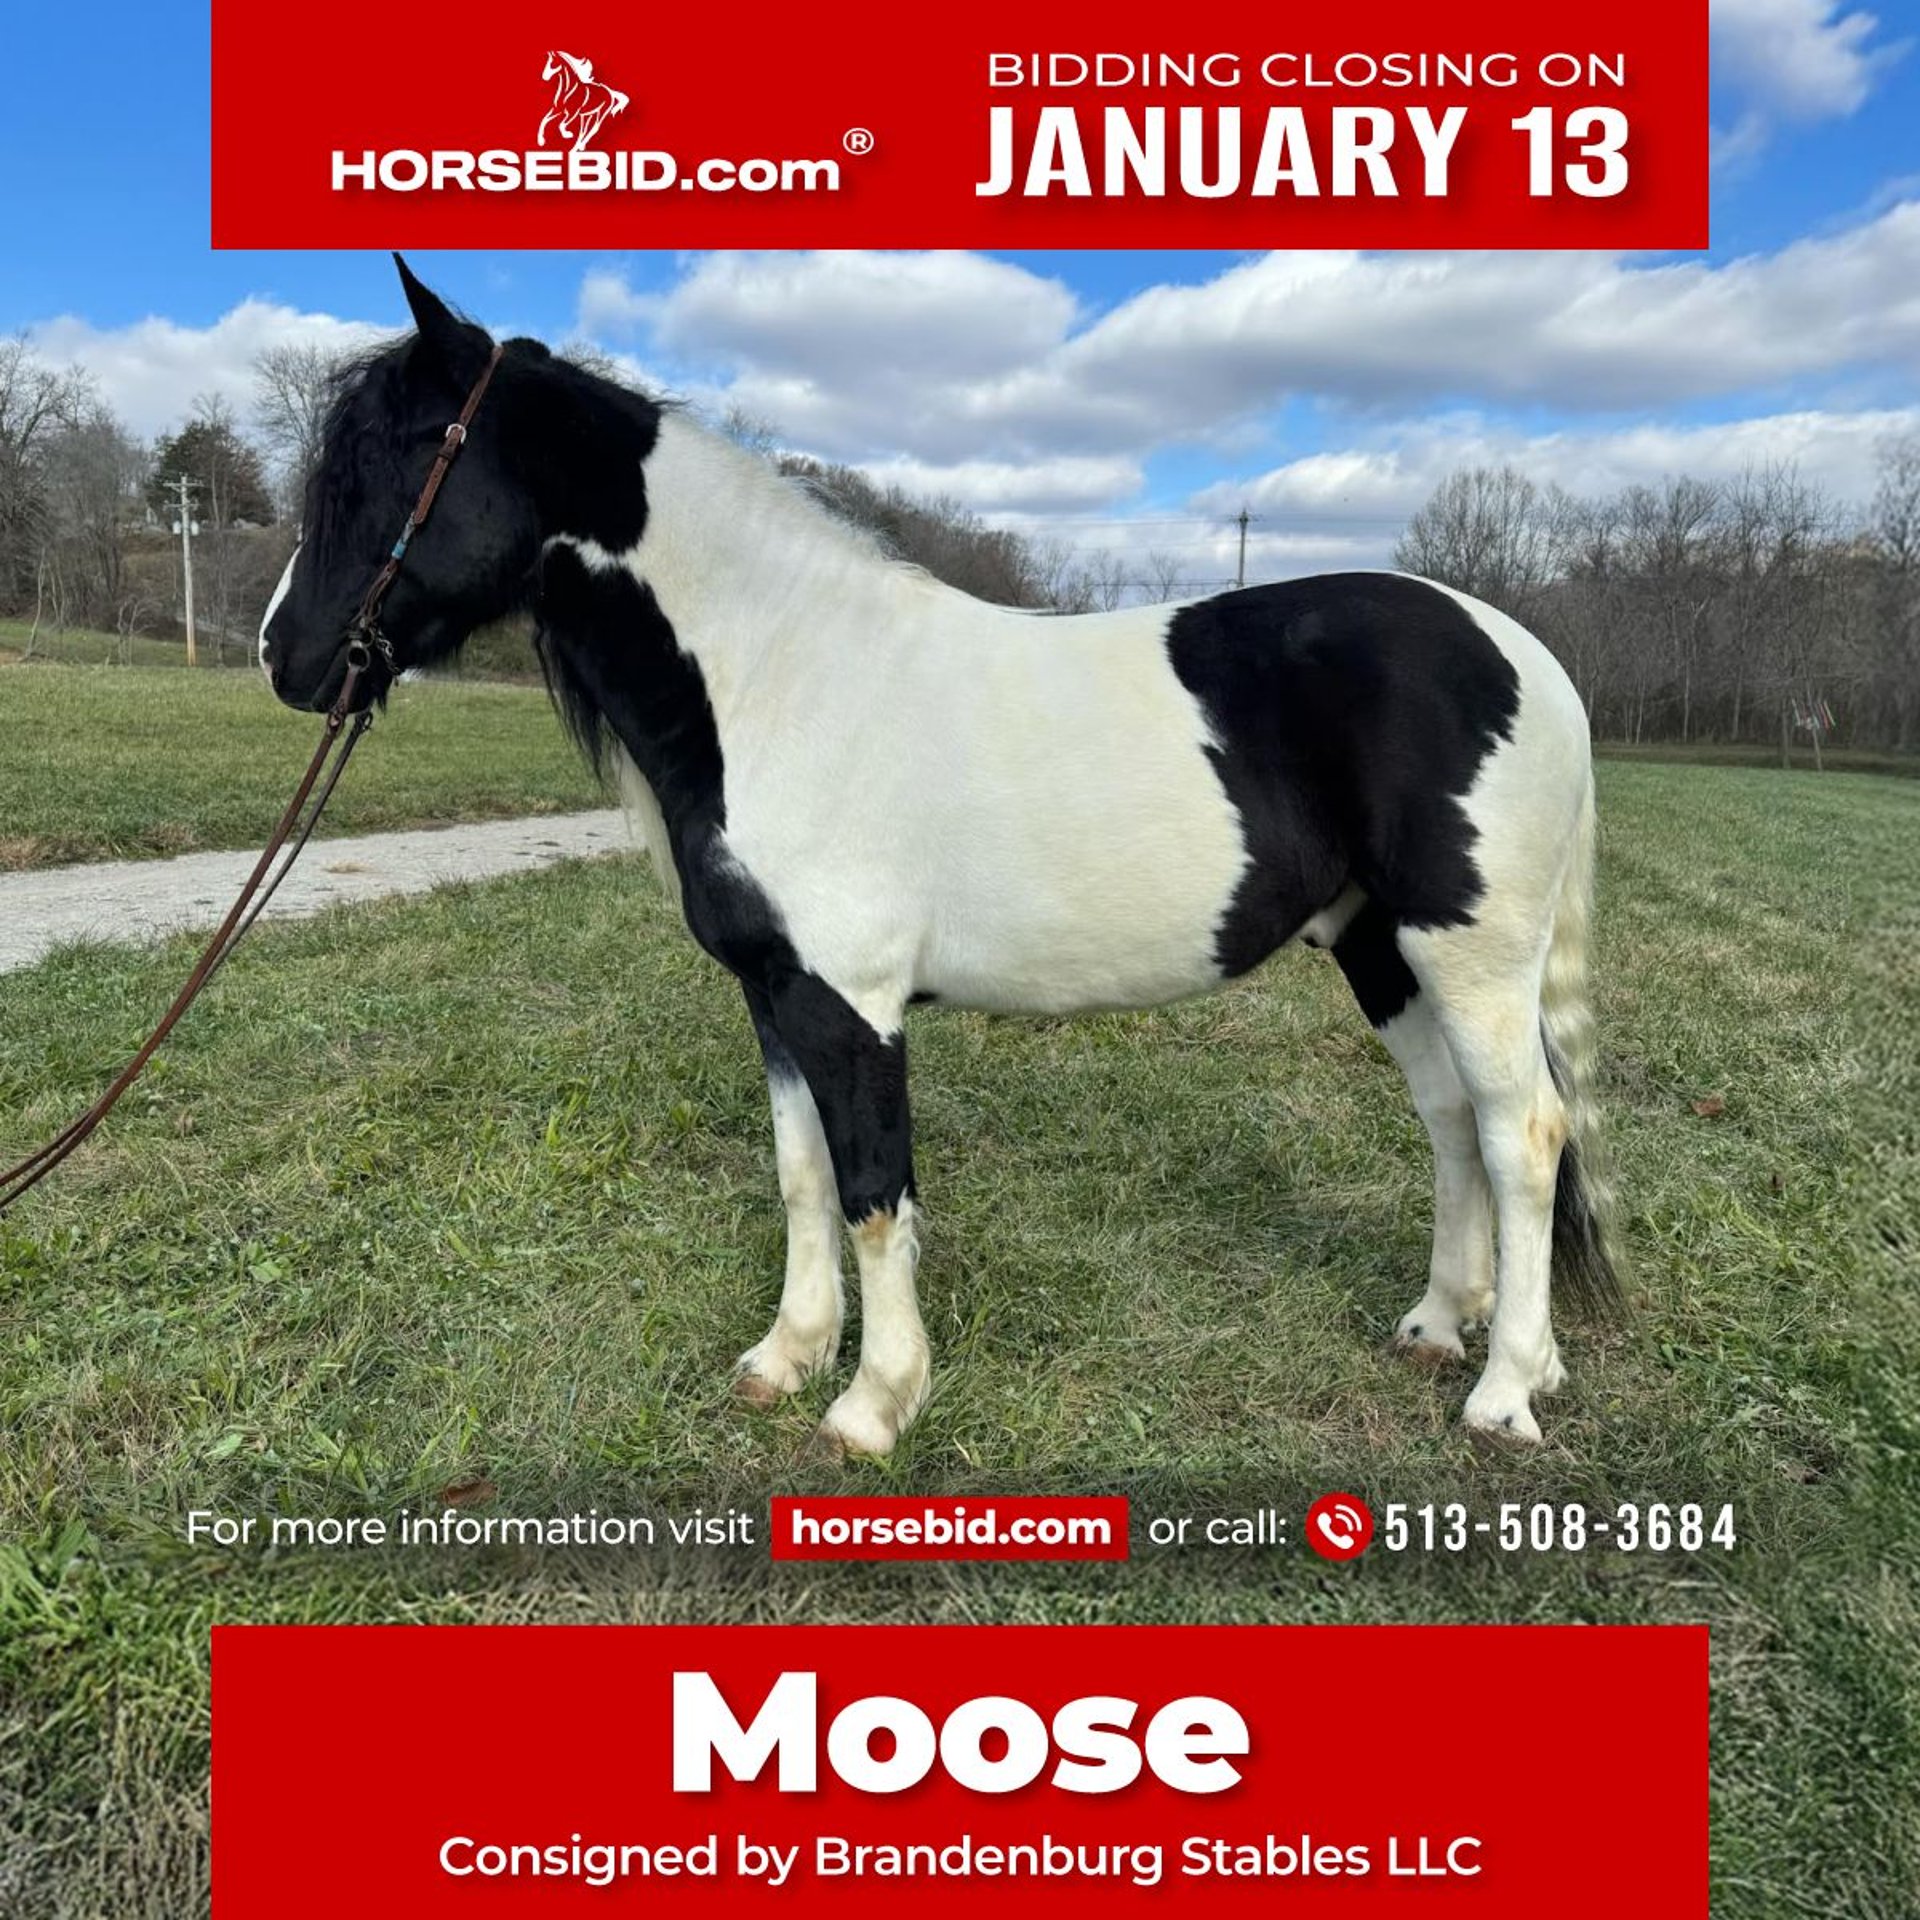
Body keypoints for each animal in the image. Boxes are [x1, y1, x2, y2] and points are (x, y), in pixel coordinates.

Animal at [261, 258, 1625, 1459]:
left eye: (391, 460)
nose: (289, 658)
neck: (778, 676)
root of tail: (1530, 657)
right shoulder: (778, 998)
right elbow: (804, 1179)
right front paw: (786, 1357)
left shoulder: (853, 1004)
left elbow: (875, 1193)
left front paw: (874, 1405)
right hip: (1379, 947)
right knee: (1451, 1120)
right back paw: (1439, 1327)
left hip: (1472, 957)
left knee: (1523, 1135)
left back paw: (1506, 1390)